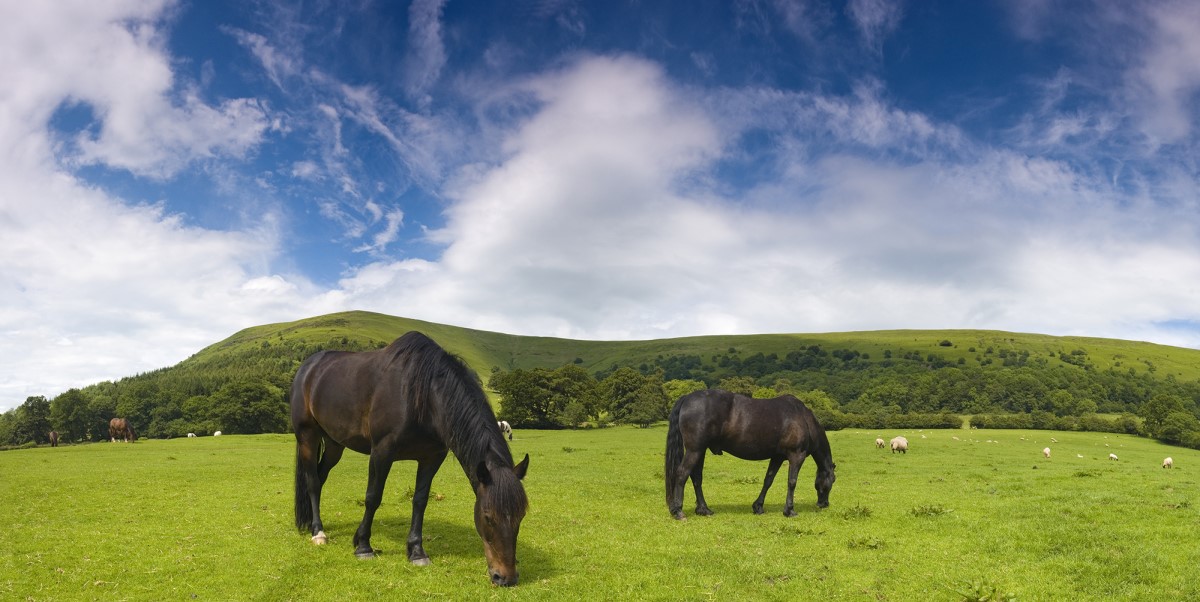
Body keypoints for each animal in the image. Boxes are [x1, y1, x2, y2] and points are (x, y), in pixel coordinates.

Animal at [291, 331, 530, 586]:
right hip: (308, 437)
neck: (422, 396)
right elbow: (373, 497)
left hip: (335, 444)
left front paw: (416, 551)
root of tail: (308, 368)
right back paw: (318, 532)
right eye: (488, 517)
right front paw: (363, 546)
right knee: (313, 482)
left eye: (521, 516)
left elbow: (420, 501)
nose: (505, 577)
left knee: (320, 477)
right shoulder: (381, 452)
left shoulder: (431, 458)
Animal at [665, 389, 835, 520]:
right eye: (833, 480)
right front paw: (789, 510)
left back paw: (703, 509)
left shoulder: (777, 457)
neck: (803, 418)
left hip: (700, 451)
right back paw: (678, 511)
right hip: (695, 450)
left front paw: (758, 506)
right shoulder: (796, 455)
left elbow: (768, 480)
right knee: (682, 474)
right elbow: (792, 482)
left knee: (696, 477)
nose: (824, 504)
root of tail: (687, 398)